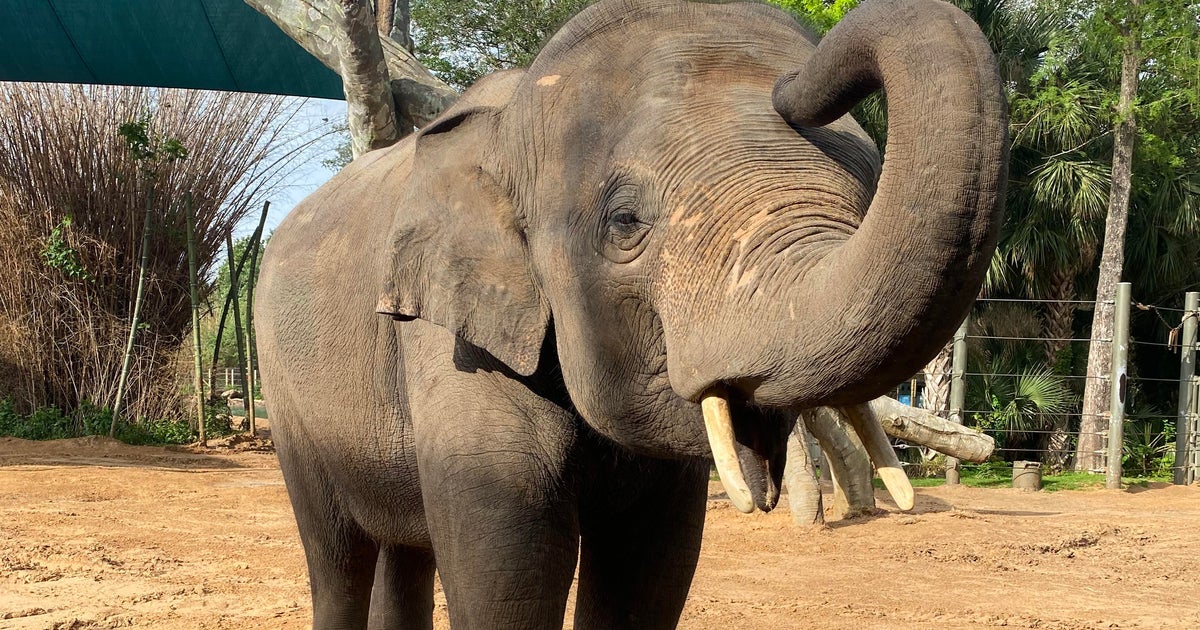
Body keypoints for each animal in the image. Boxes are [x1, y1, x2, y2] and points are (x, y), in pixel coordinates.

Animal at [254, 0, 1007, 627]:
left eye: (867, 186)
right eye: (624, 222)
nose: (794, 82)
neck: (514, 115)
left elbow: (650, 567)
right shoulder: (456, 348)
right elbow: (512, 567)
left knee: (404, 551)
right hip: (289, 405)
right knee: (337, 557)